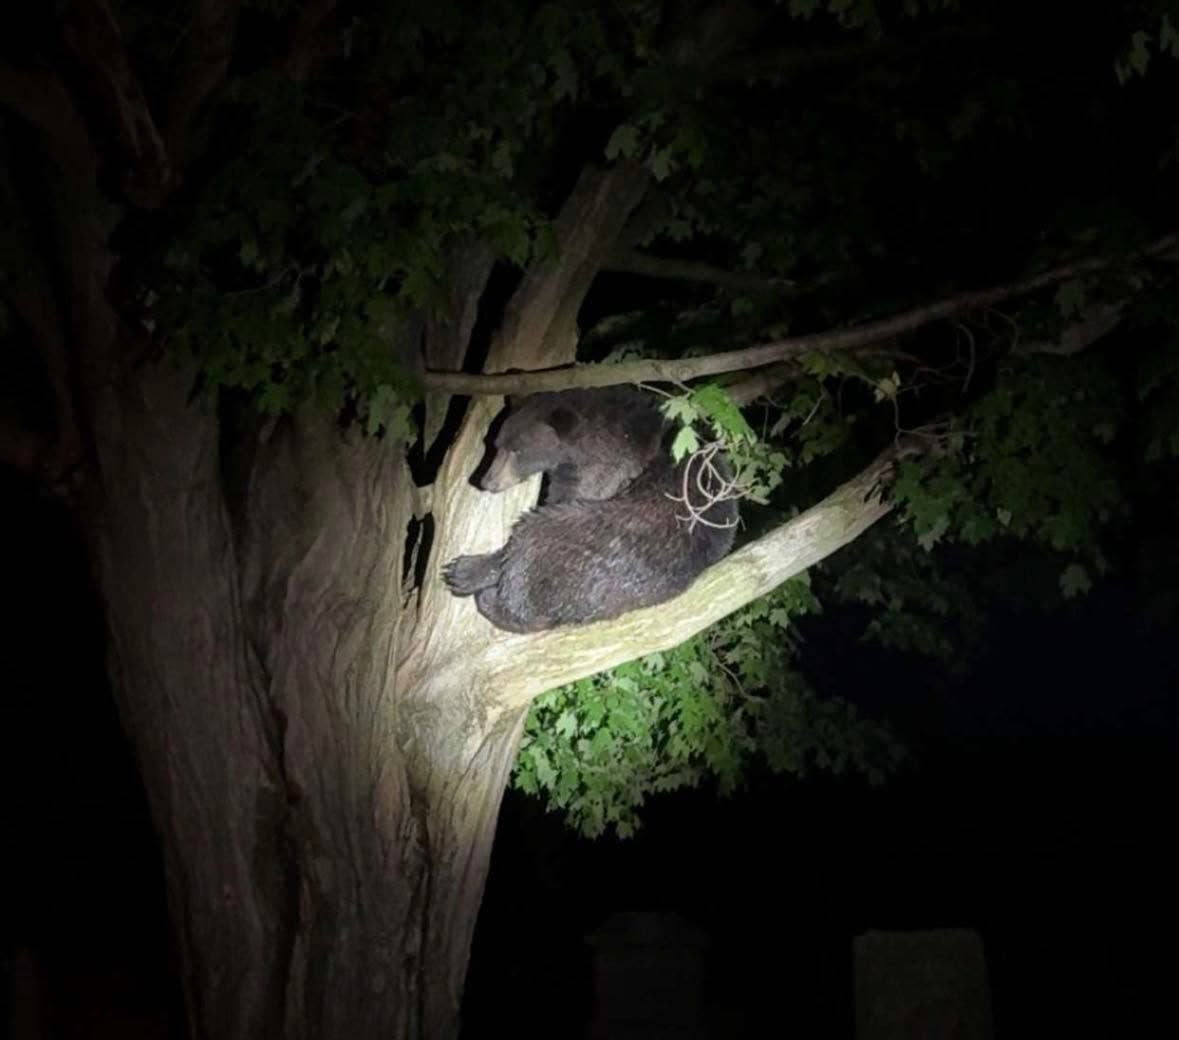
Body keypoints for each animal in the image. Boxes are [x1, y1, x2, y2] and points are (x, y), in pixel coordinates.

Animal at [443, 386, 738, 633]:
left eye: (517, 450)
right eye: (496, 445)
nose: (487, 482)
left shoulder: (606, 465)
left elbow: (564, 500)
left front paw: (465, 570)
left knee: (534, 537)